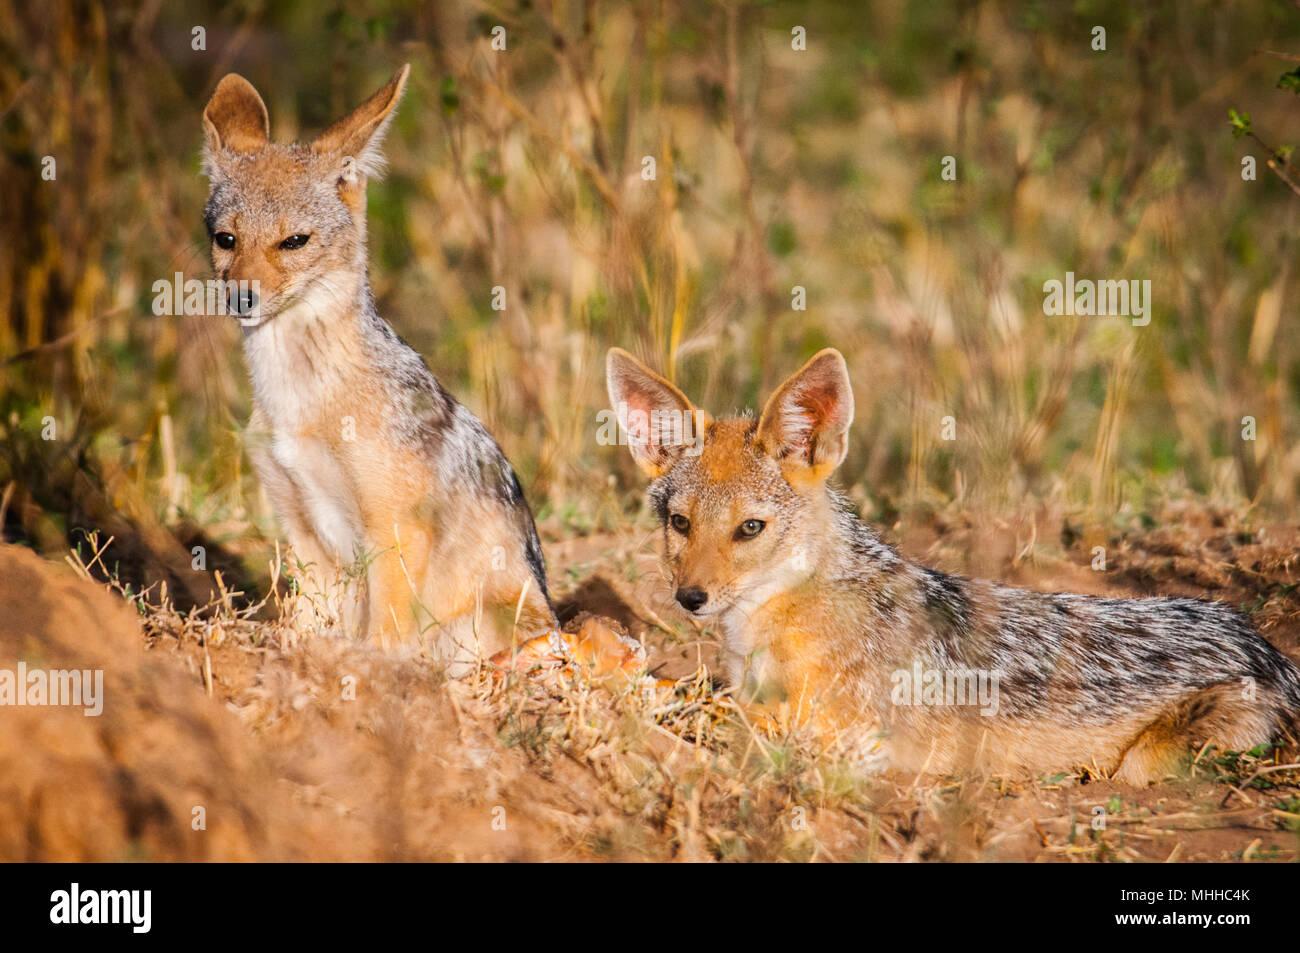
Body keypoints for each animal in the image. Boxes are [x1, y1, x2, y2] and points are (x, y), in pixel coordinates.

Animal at [201, 65, 555, 669]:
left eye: (293, 241)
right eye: (227, 240)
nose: (242, 298)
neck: (299, 400)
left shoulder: (394, 528)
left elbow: (384, 635)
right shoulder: (300, 525)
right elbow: (310, 623)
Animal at [606, 346, 1300, 784]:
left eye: (749, 529)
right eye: (680, 524)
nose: (690, 598)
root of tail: (1259, 641)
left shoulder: (851, 735)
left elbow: (730, 714)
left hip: (1141, 766)